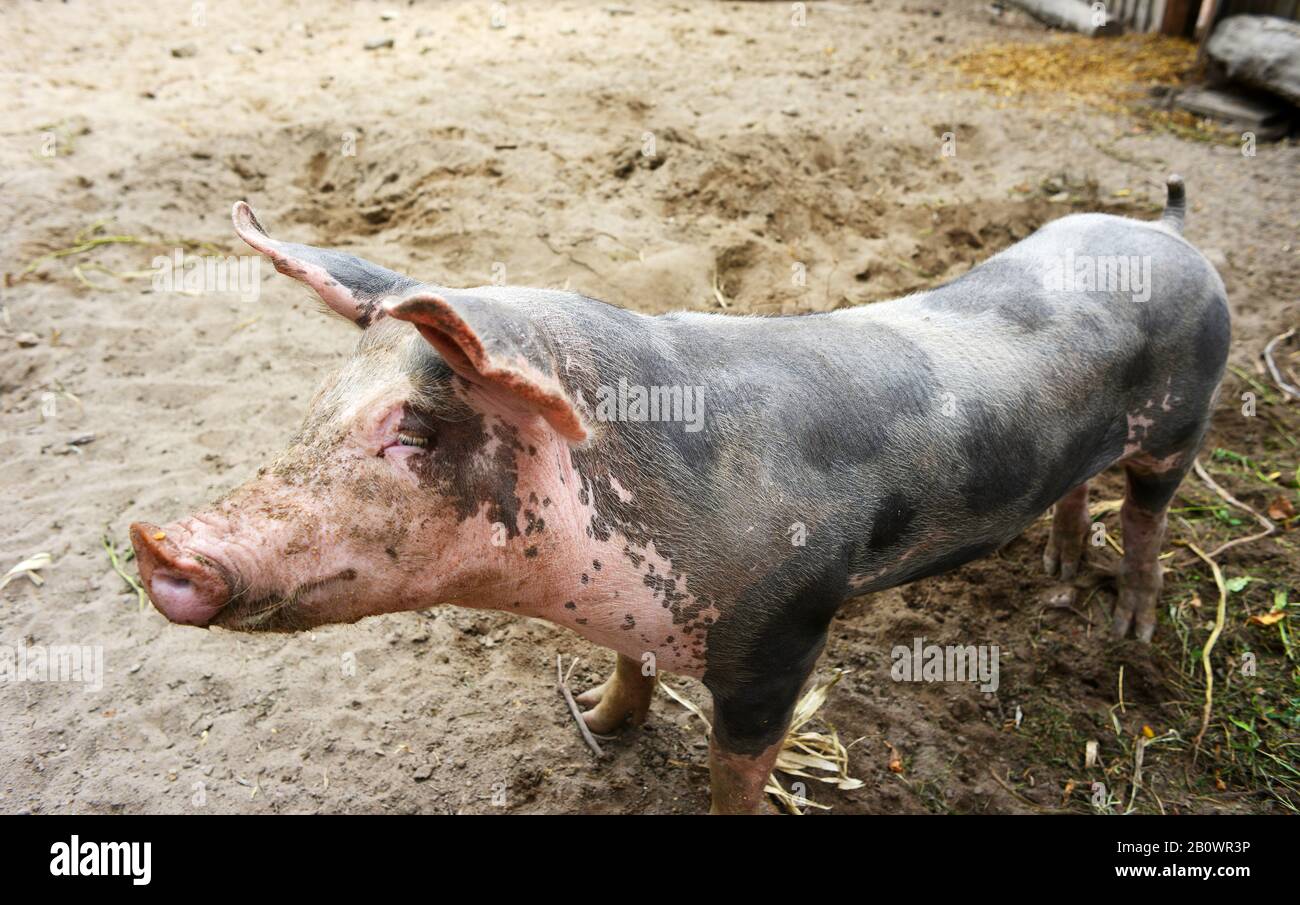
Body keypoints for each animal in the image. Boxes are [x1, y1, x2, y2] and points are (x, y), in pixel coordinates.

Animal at [132, 176, 1229, 814]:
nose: (155, 545)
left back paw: (1124, 628)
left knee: (1147, 520)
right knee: (1078, 496)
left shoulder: (786, 630)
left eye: (412, 431)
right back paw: (1056, 580)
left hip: (1182, 424)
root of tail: (1170, 234)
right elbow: (629, 670)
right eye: (316, 403)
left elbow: (737, 766)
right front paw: (598, 720)